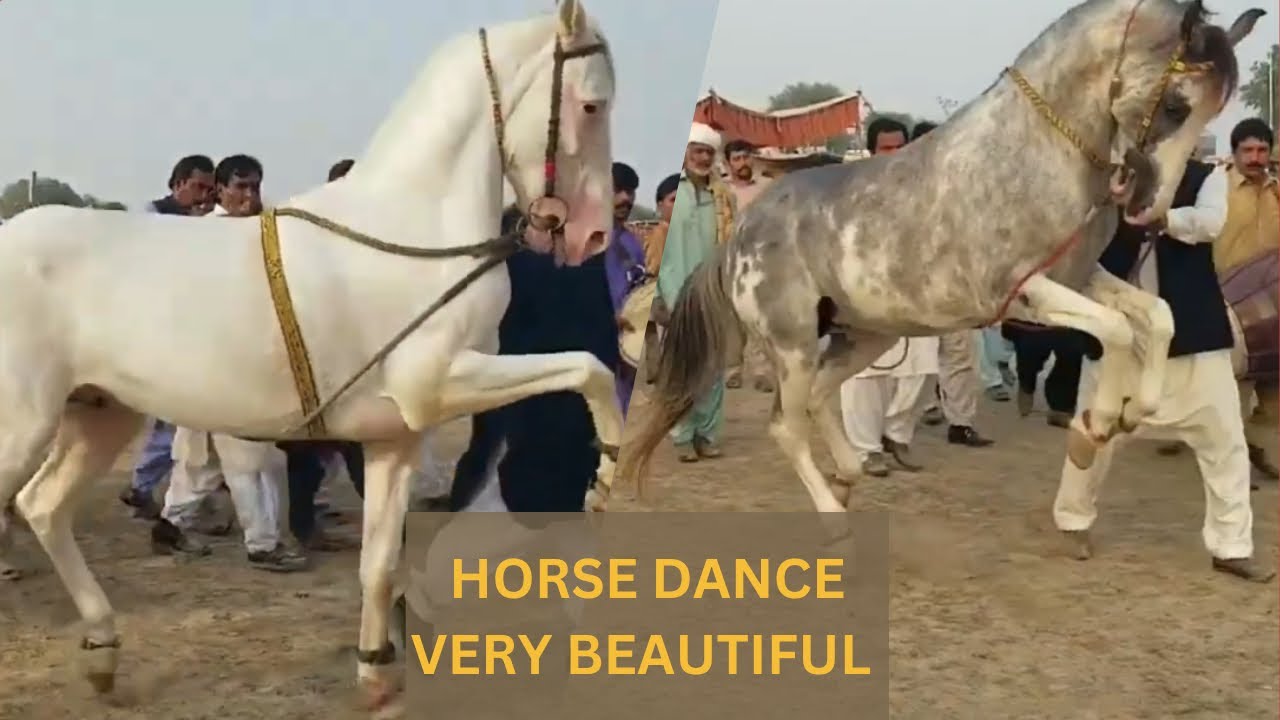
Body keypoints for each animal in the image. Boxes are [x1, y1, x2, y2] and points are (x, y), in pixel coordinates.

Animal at [0, 0, 621, 710]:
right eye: (593, 105)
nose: (593, 235)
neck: (412, 231)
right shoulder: (436, 384)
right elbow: (590, 367)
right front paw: (606, 472)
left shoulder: (394, 437)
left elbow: (380, 563)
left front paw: (375, 673)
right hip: (23, 423)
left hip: (100, 413)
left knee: (43, 506)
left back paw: (103, 652)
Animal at [620, 0, 1263, 527]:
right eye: (1176, 106)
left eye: (1209, 114)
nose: (1148, 210)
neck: (1034, 157)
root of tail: (737, 241)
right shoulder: (1022, 291)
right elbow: (1115, 331)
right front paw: (1098, 426)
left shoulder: (1077, 276)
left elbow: (1156, 318)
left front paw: (1137, 411)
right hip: (794, 342)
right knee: (787, 422)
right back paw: (833, 514)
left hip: (866, 334)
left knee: (823, 396)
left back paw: (848, 475)